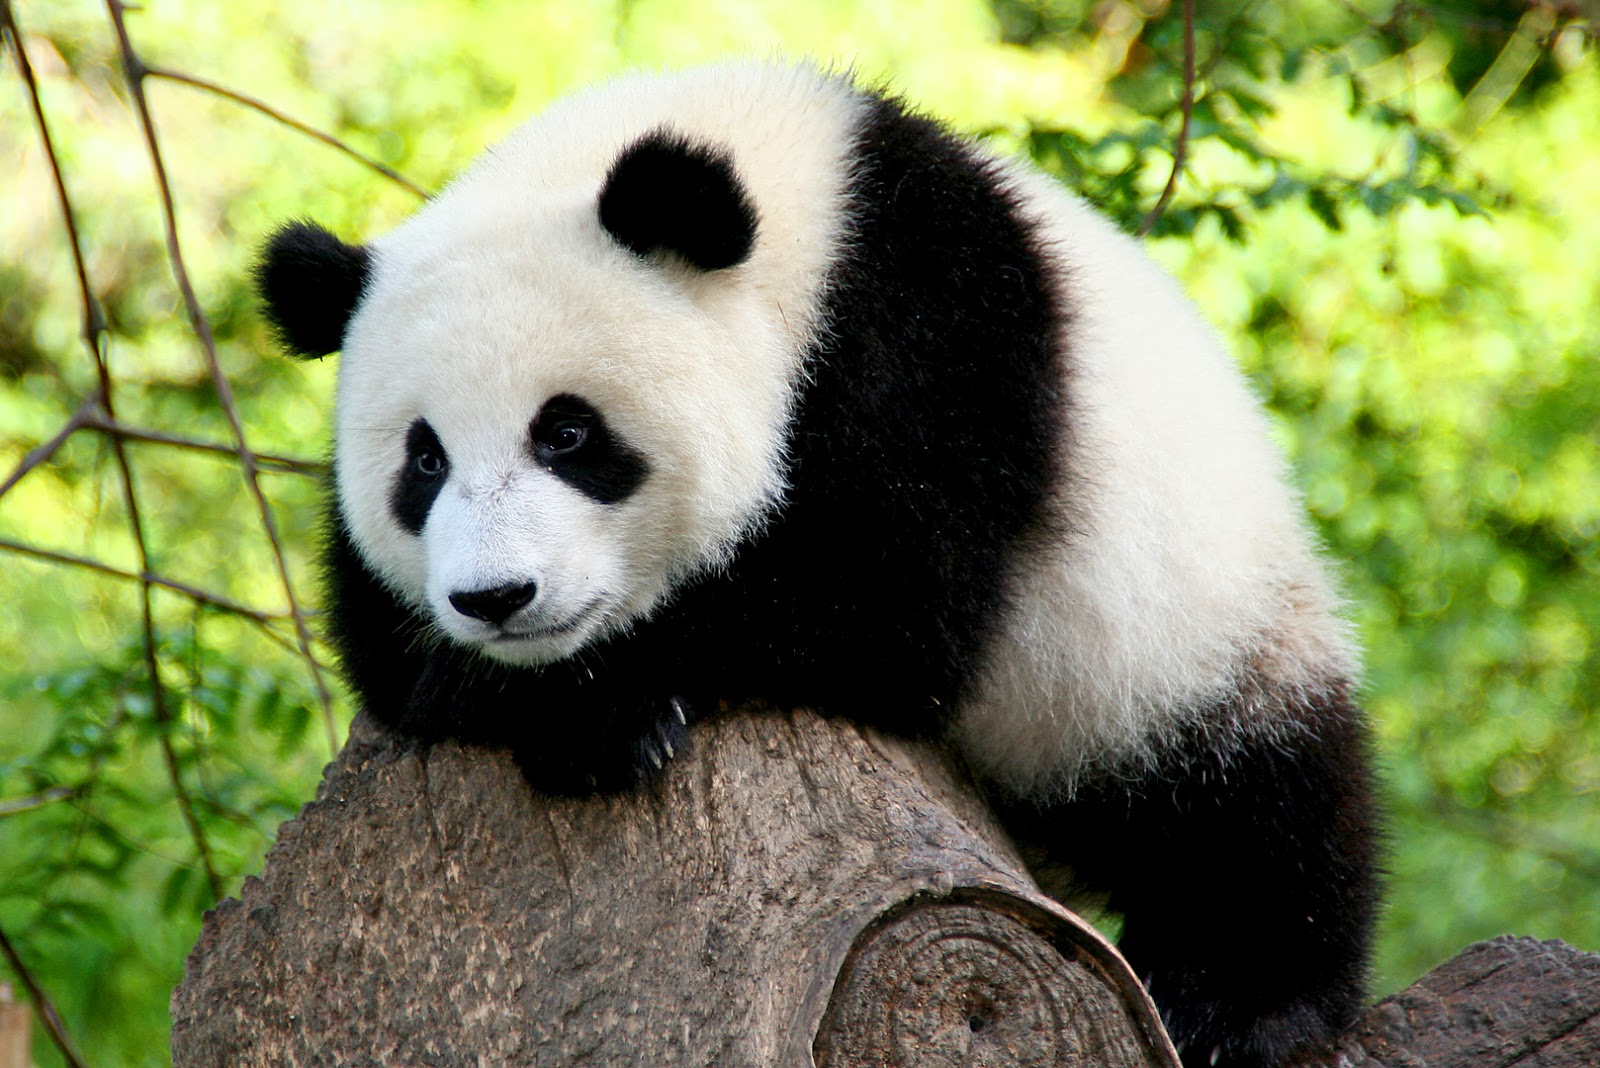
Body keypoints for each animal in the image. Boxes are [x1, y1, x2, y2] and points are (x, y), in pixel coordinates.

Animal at [256, 62, 1380, 1068]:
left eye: (567, 433)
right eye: (424, 461)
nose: (496, 598)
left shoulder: (939, 340)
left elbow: (888, 596)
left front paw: (603, 706)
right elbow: (378, 641)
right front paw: (505, 690)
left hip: (1192, 620)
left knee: (1252, 804)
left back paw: (1237, 1003)